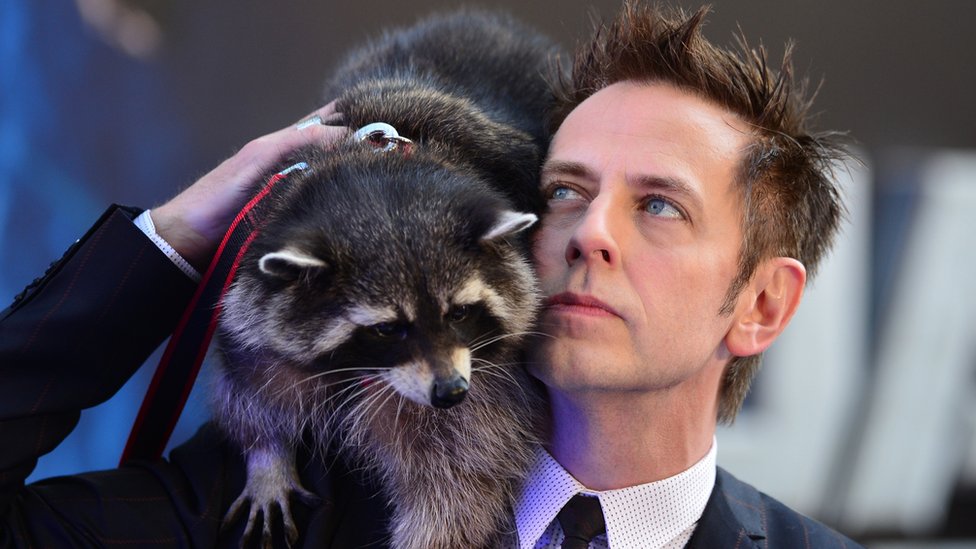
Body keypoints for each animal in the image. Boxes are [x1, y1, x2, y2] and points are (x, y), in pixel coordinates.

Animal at [213, 11, 560, 548]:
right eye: (385, 329)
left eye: (460, 312)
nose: (451, 392)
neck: (379, 171)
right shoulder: (251, 279)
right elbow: (251, 383)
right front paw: (267, 456)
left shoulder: (490, 387)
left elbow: (460, 488)